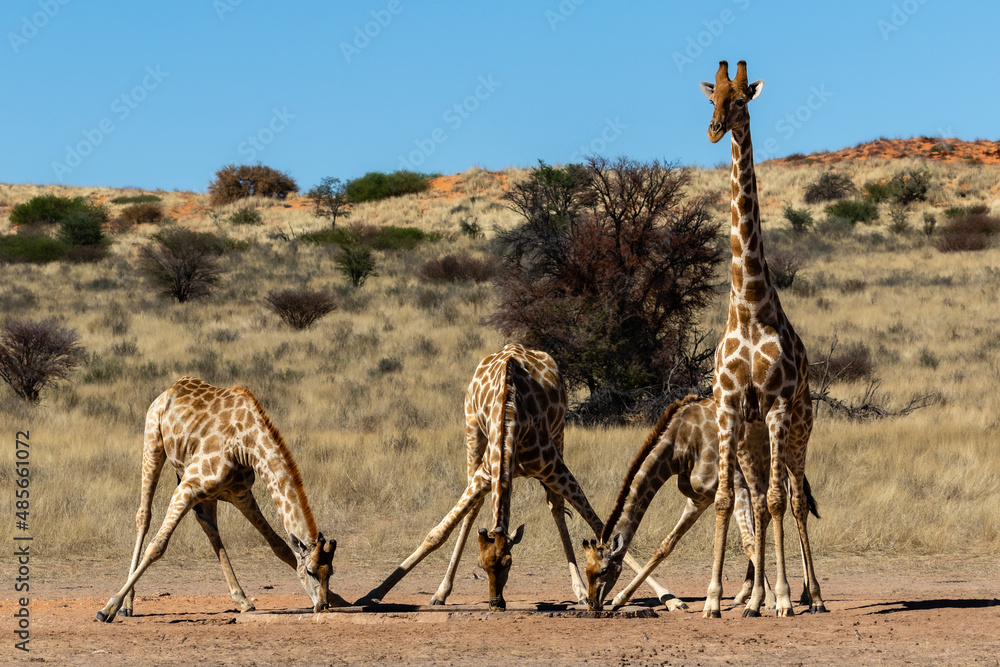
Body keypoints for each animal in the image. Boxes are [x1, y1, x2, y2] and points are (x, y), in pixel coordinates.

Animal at [97, 376, 345, 622]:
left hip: (207, 491)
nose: (322, 606)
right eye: (311, 571)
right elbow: (157, 546)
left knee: (209, 526)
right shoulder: (187, 487)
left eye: (330, 572)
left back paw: (243, 600)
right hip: (153, 443)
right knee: (144, 516)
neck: (246, 444)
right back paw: (127, 605)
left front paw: (339, 599)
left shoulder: (239, 494)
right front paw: (108, 608)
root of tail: (173, 386)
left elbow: (280, 546)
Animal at [355, 344, 671, 611]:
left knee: (556, 507)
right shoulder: (485, 472)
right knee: (473, 511)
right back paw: (441, 592)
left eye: (508, 563)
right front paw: (372, 594)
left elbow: (598, 523)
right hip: (472, 433)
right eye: (481, 565)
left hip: (559, 433)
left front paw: (667, 596)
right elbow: (437, 533)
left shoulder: (554, 467)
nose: (496, 603)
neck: (510, 420)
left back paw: (581, 591)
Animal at [582, 395, 819, 611]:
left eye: (603, 570)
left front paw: (768, 599)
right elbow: (665, 546)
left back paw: (806, 595)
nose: (593, 603)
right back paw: (752, 594)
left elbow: (749, 543)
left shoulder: (736, 486)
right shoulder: (699, 498)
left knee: (795, 508)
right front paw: (621, 598)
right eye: (587, 570)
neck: (680, 445)